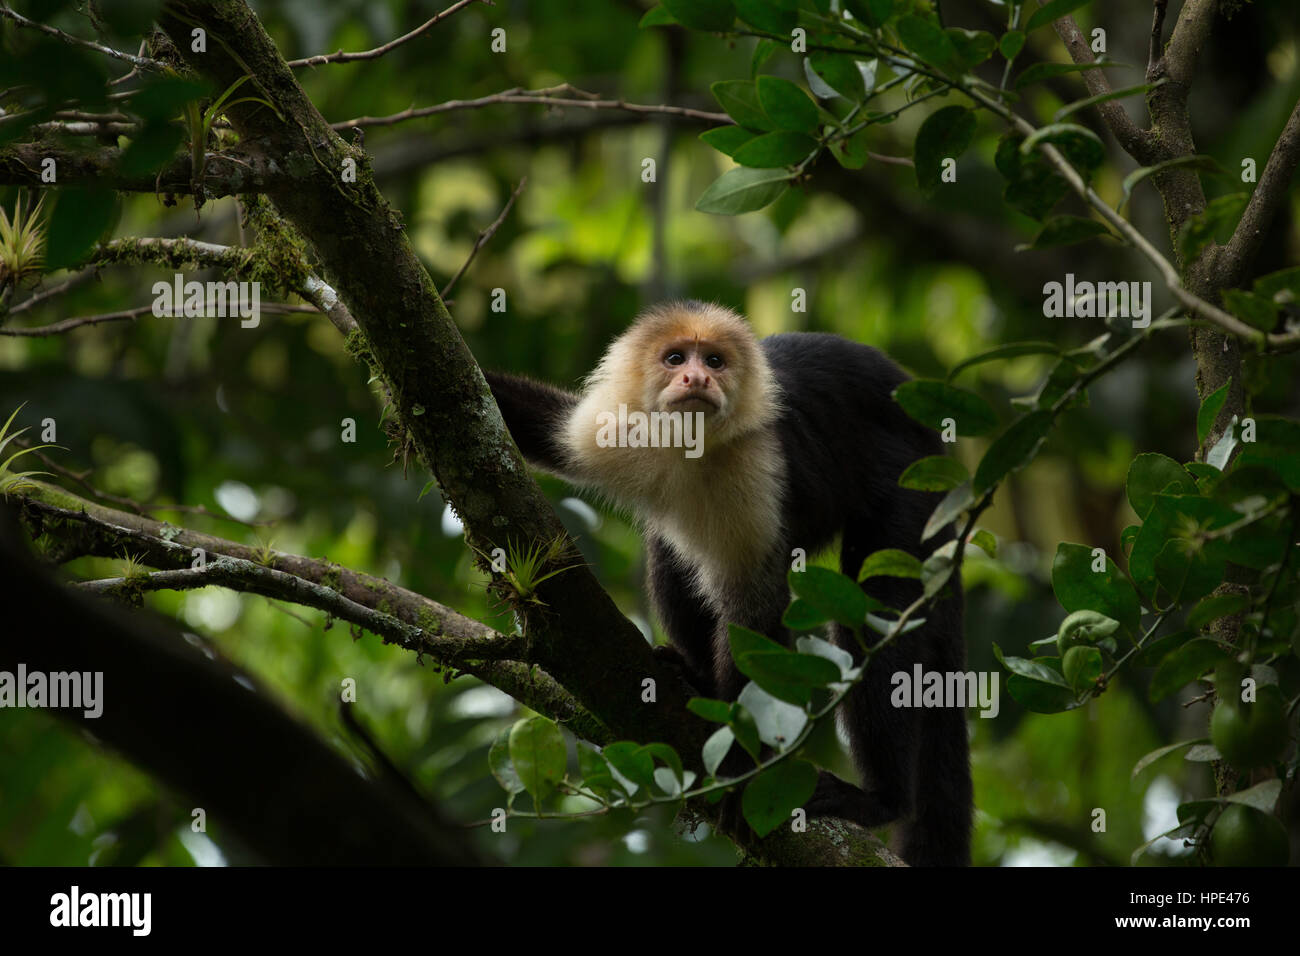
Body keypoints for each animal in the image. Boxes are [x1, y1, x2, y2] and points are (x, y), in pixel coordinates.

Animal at [484, 301, 971, 865]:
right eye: (676, 358)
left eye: (714, 361)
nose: (696, 378)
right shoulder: (621, 427)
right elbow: (543, 426)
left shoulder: (758, 466)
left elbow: (754, 614)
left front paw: (742, 762)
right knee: (669, 552)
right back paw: (696, 676)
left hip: (915, 485)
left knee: (873, 620)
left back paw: (879, 800)